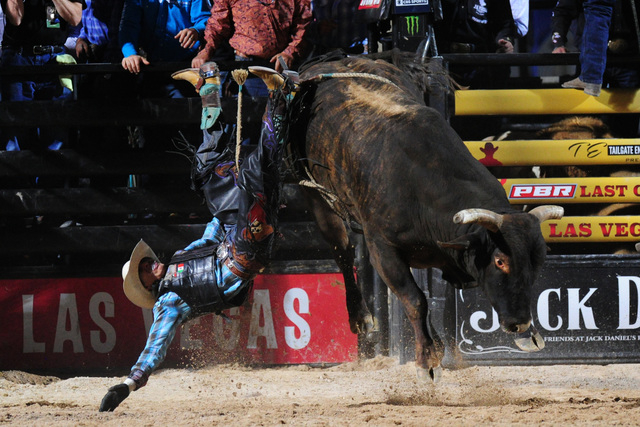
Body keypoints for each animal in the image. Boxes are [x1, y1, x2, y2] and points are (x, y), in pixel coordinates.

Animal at [253, 50, 563, 382]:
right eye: (500, 261)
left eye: (537, 261)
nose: (520, 323)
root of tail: (329, 63)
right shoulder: (383, 250)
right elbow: (415, 299)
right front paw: (426, 360)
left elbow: (430, 298)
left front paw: (438, 347)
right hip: (316, 195)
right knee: (343, 252)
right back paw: (361, 318)